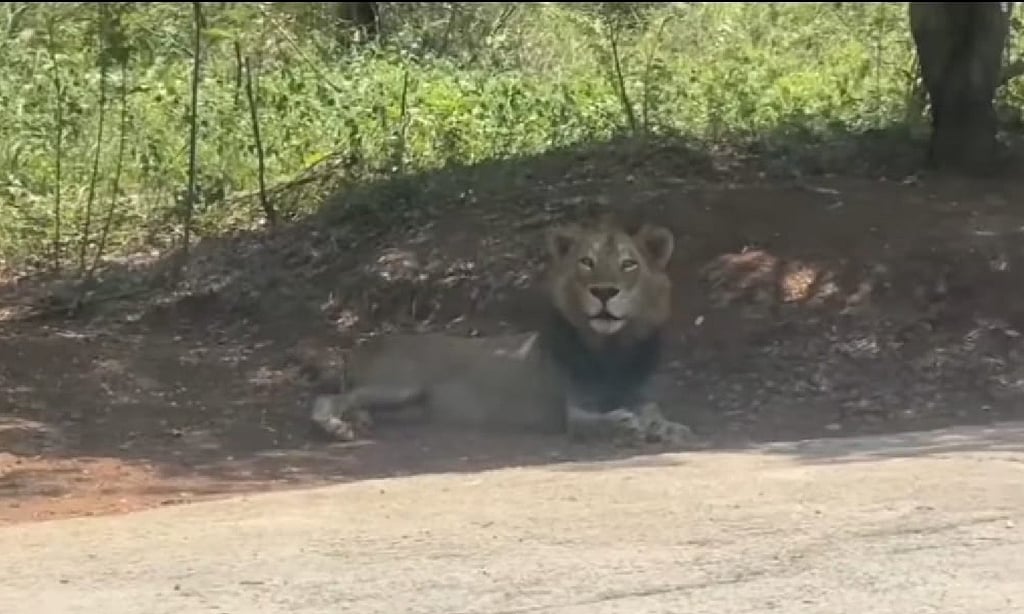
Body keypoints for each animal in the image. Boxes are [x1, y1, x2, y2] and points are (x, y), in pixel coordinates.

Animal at [303, 217, 694, 447]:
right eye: (587, 262)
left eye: (629, 264)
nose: (604, 292)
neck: (612, 347)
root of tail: (364, 344)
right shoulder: (574, 411)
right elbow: (597, 423)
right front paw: (626, 426)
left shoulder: (641, 393)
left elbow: (654, 411)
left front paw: (669, 429)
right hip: (398, 385)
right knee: (326, 400)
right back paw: (338, 428)